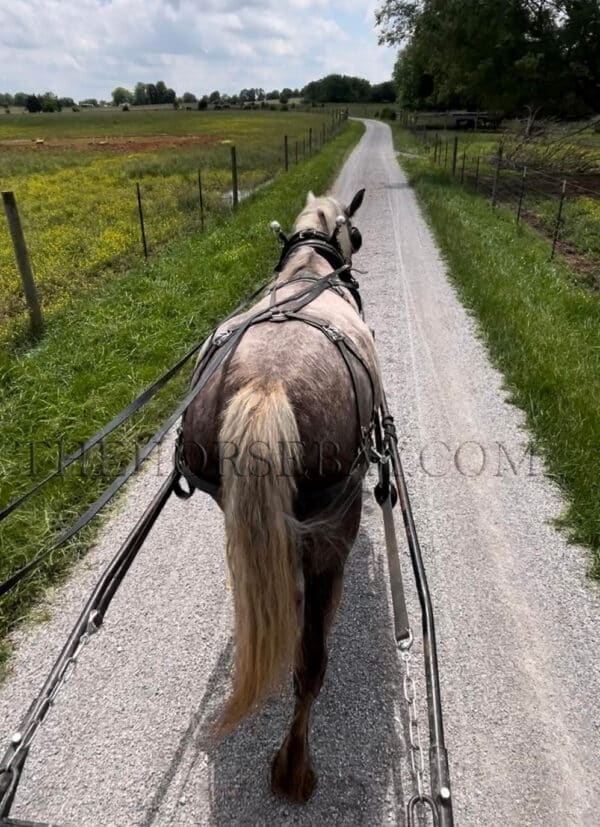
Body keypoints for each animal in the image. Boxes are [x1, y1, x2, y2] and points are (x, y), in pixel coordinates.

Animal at [177, 187, 383, 802]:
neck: (309, 269)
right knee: (310, 662)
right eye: (355, 232)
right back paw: (294, 767)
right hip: (337, 523)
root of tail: (267, 382)